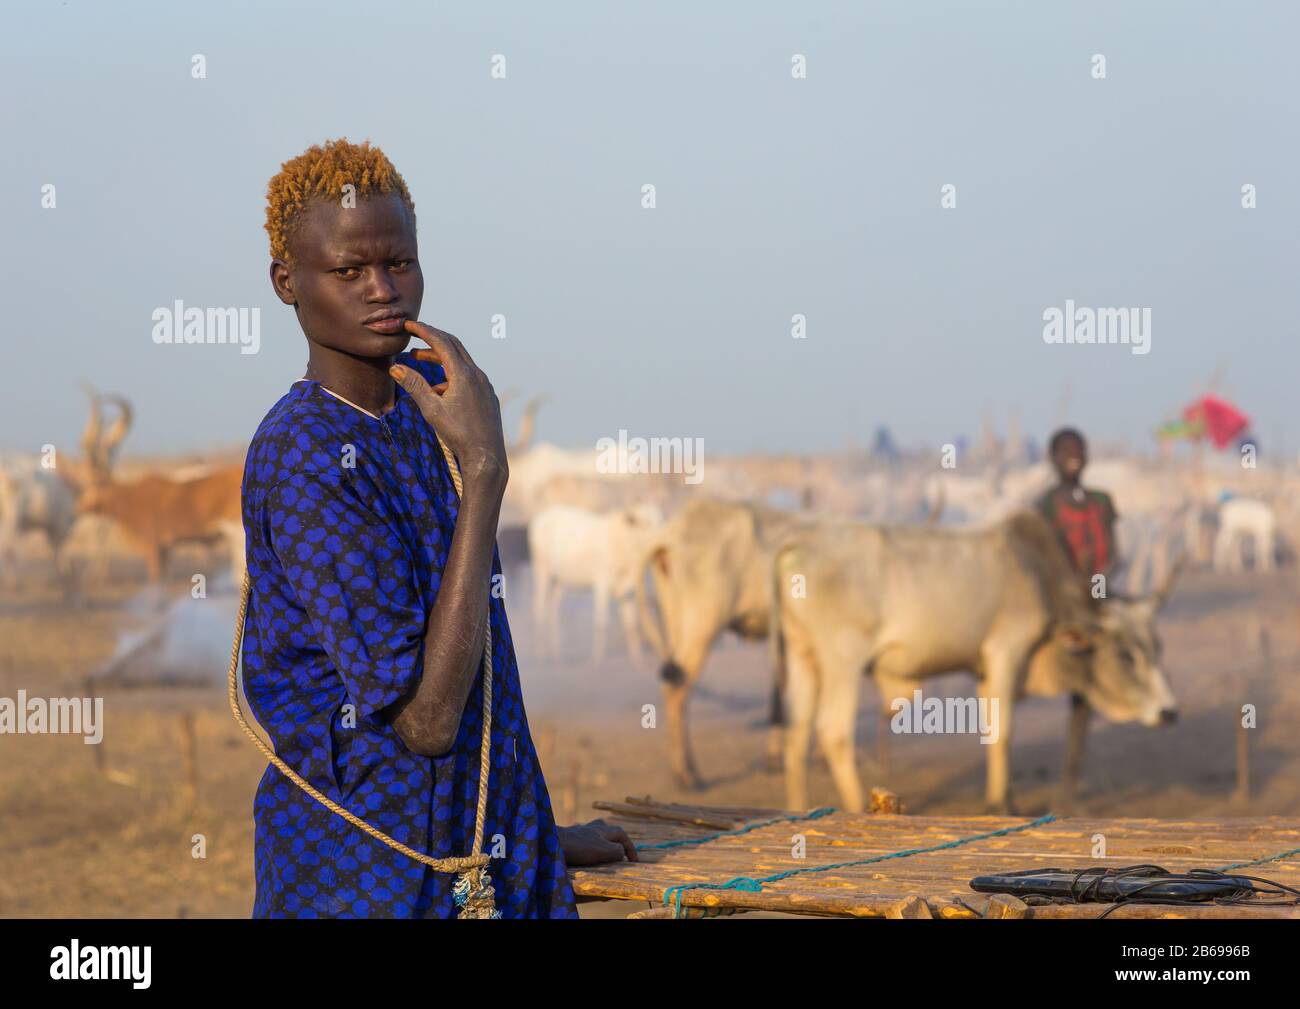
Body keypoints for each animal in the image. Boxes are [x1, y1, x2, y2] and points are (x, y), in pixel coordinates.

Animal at [528, 503, 664, 662]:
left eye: (661, 519)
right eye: (646, 522)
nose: (661, 541)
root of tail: (543, 516)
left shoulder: (627, 591)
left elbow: (631, 625)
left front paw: (637, 660)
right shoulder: (601, 584)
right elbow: (601, 623)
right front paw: (597, 660)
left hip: (560, 580)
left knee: (553, 608)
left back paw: (556, 650)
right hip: (541, 569)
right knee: (539, 606)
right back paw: (541, 651)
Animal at [772, 510, 1178, 813]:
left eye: (1157, 647)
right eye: (1126, 652)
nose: (1169, 712)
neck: (1036, 573)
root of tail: (797, 543)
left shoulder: (986, 669)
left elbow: (991, 729)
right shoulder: (1007, 652)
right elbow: (1004, 732)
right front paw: (1002, 804)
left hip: (803, 655)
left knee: (796, 733)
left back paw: (797, 808)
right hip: (843, 659)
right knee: (832, 730)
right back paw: (857, 807)